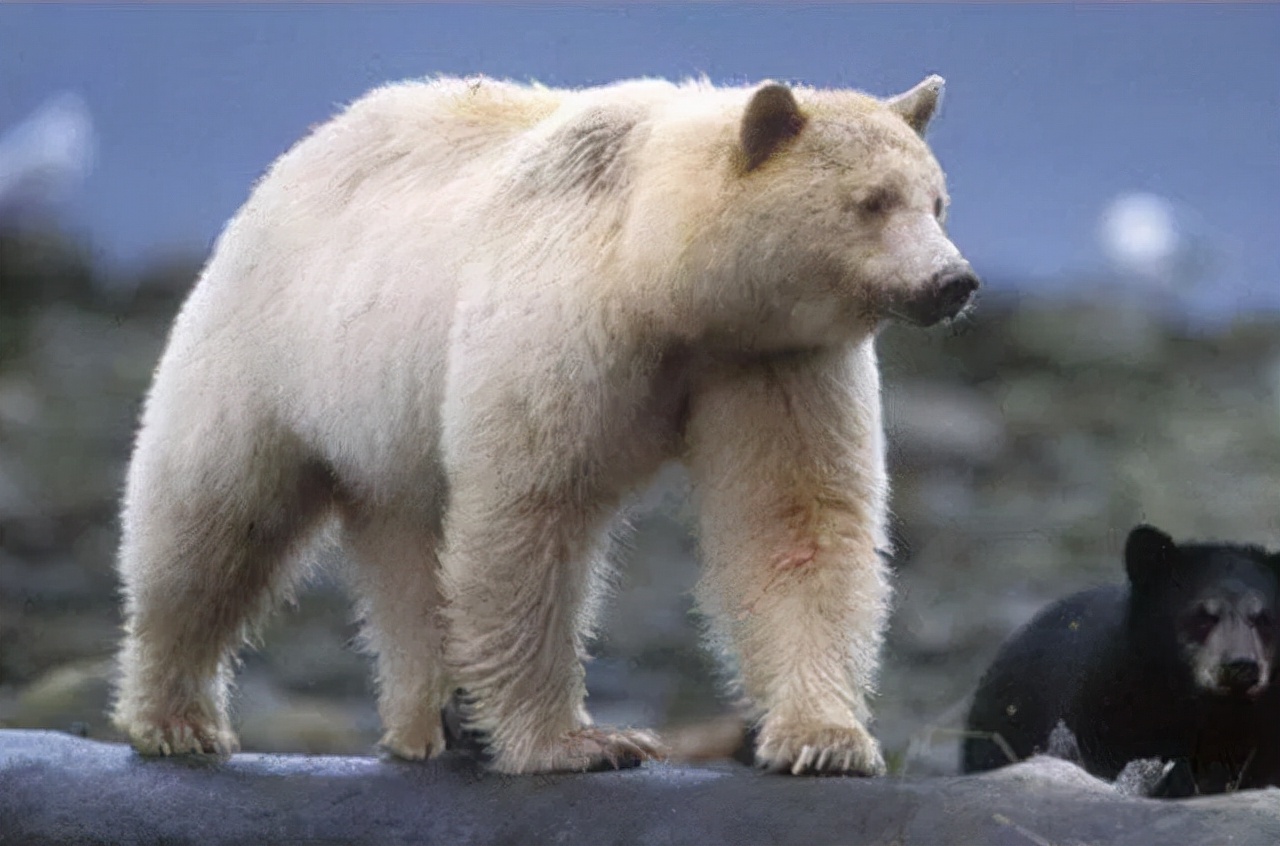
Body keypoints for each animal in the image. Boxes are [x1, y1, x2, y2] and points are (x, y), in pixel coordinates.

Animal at [109, 72, 980, 776]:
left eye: (937, 199)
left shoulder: (772, 358)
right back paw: (177, 719)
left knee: (407, 552)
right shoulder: (565, 324)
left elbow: (793, 521)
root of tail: (291, 163)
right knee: (213, 518)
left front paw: (824, 738)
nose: (953, 281)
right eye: (872, 202)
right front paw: (576, 743)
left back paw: (432, 723)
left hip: (391, 427)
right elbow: (529, 511)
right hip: (271, 353)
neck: (658, 271)